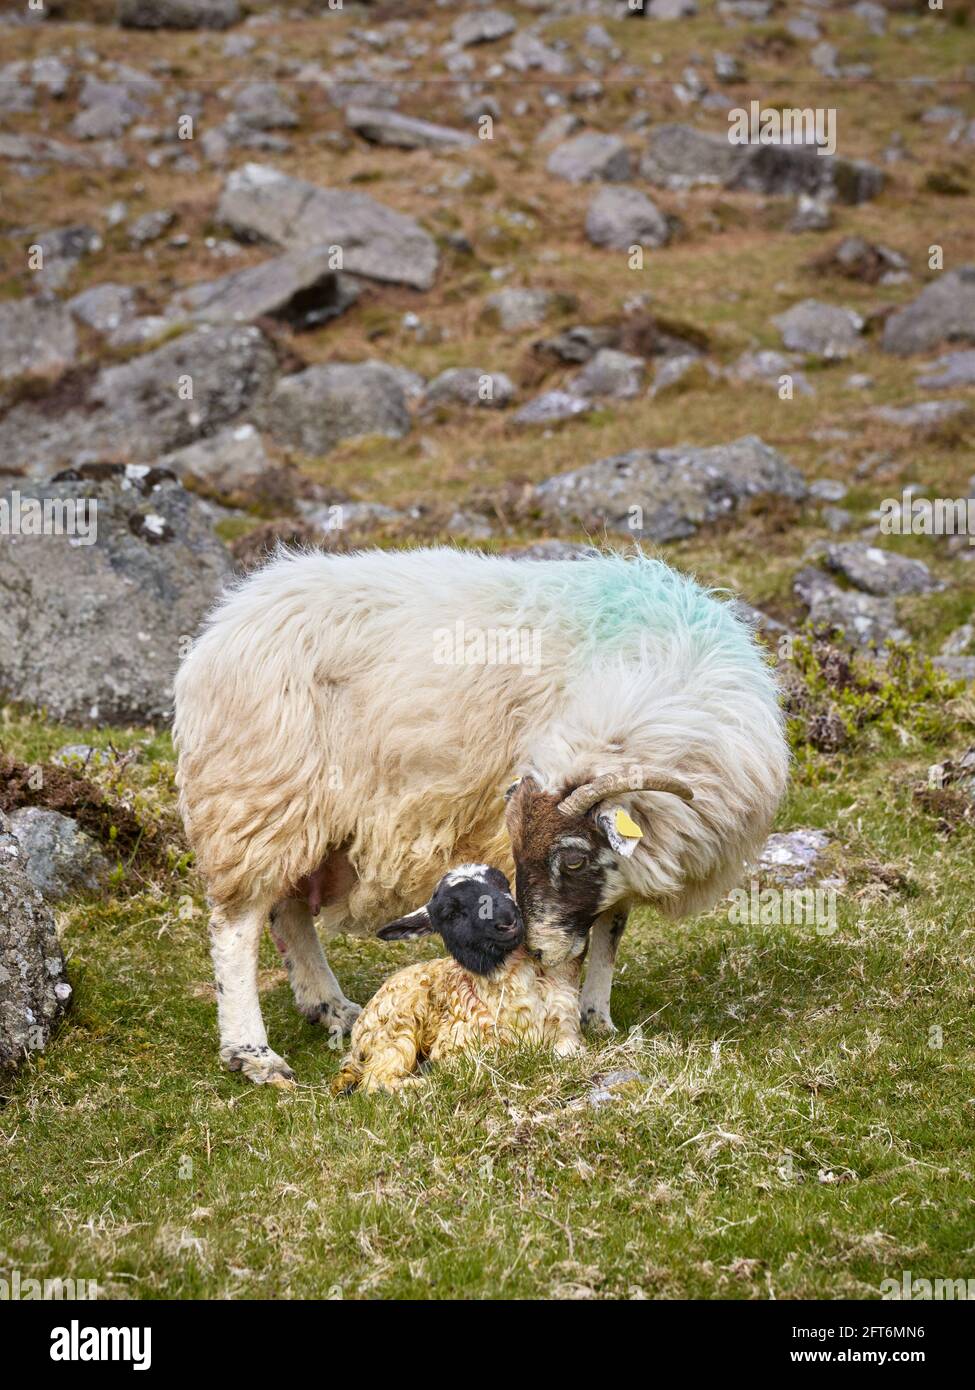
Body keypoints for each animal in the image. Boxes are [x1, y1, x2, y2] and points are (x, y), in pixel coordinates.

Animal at [333, 864, 582, 1094]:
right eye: (451, 913)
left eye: (503, 885)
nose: (508, 921)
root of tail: (357, 1041)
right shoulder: (457, 1046)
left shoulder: (566, 1028)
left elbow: (566, 1053)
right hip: (396, 1030)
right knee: (376, 1080)